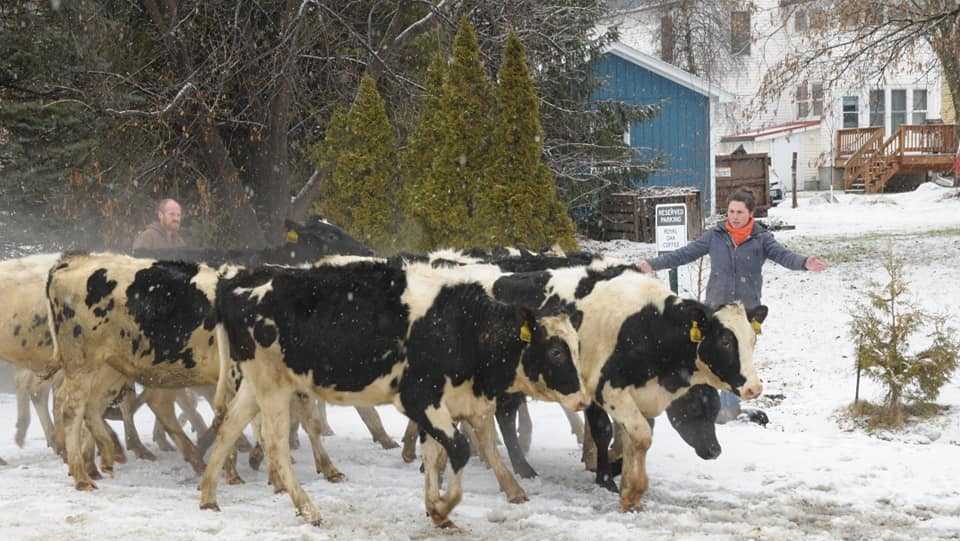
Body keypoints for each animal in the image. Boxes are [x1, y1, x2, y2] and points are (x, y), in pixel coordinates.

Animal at [198, 257, 588, 527]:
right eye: (556, 352)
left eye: (576, 346)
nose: (583, 398)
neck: (463, 326)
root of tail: (237, 280)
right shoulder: (418, 397)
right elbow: (459, 450)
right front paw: (444, 506)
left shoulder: (444, 404)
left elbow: (436, 455)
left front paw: (437, 510)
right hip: (273, 387)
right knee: (275, 445)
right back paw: (307, 508)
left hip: (254, 385)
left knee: (228, 427)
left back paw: (208, 495)